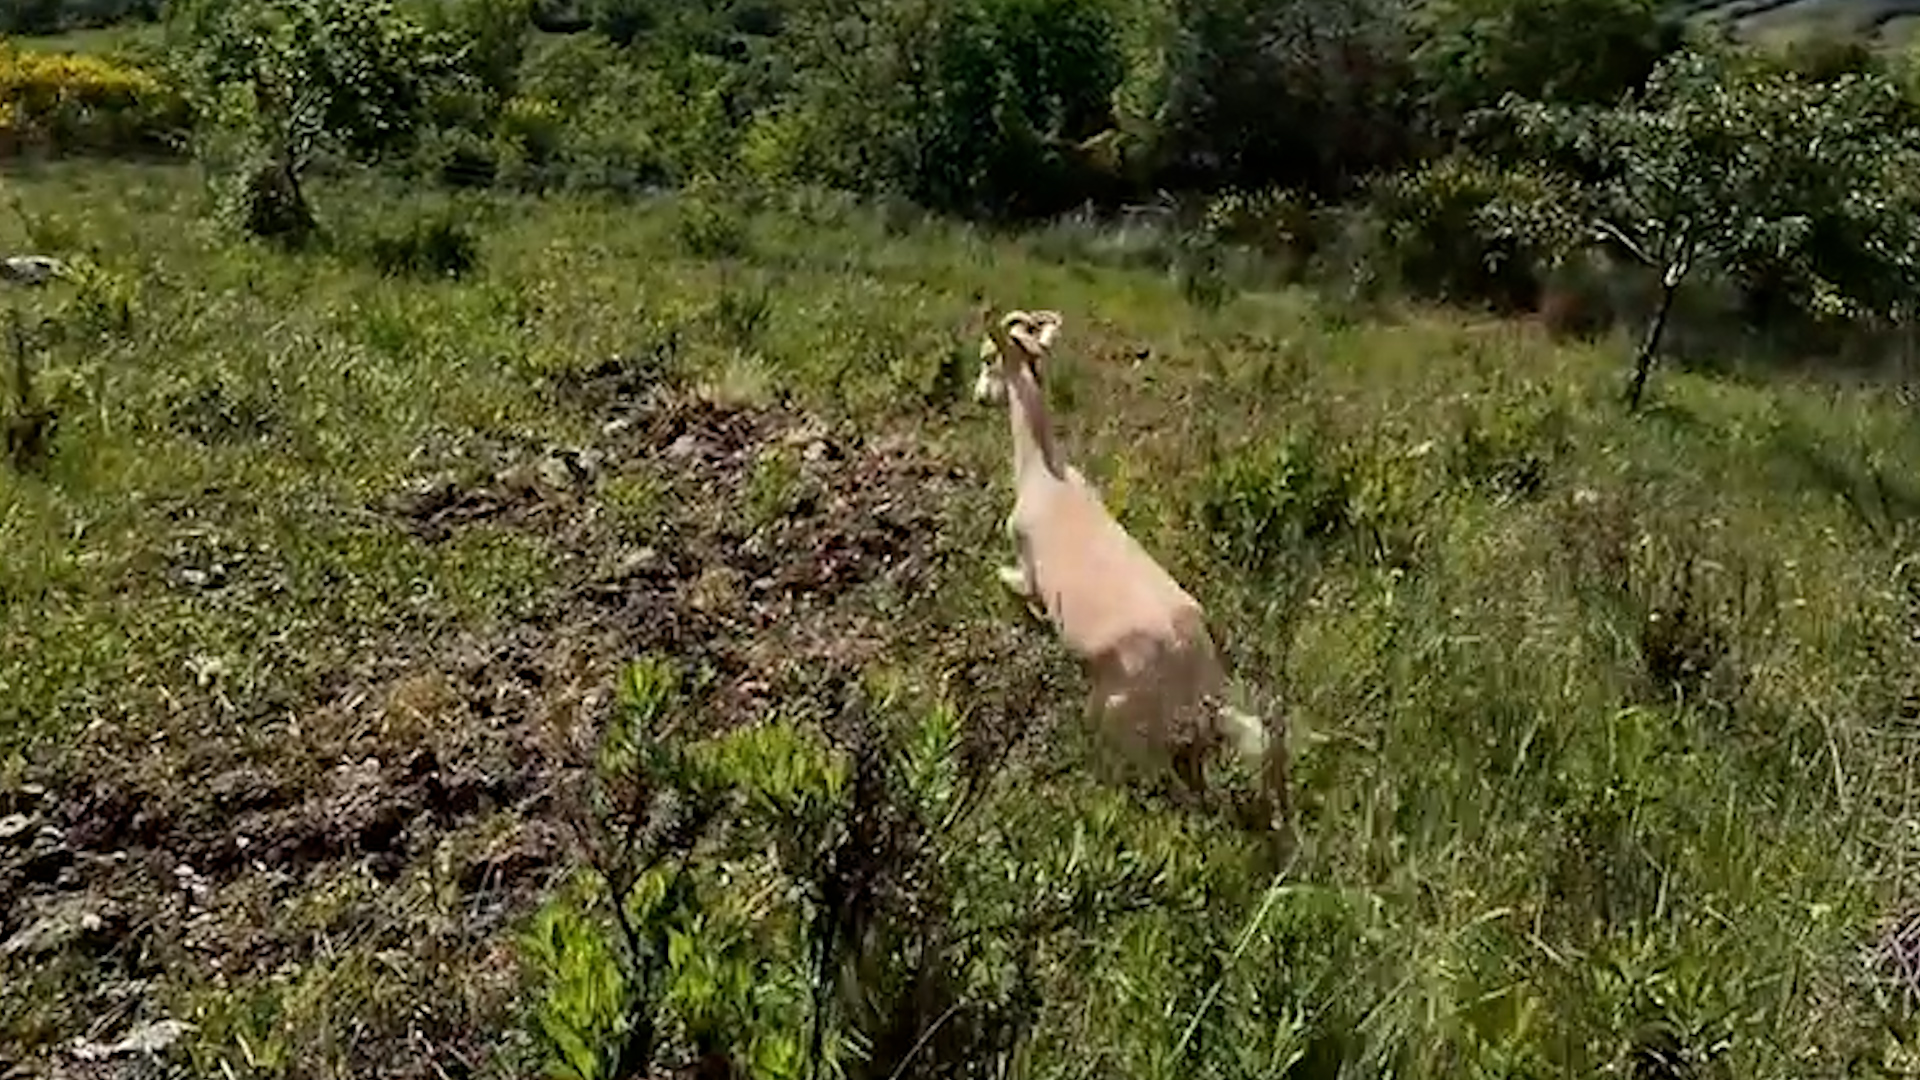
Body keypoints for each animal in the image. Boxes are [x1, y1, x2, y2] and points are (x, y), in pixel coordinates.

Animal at [982, 306, 1291, 844]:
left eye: (987, 358)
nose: (979, 394)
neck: (1042, 471)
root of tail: (1189, 662)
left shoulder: (1024, 565)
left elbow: (1011, 585)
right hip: (1201, 713)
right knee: (1249, 741)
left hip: (1119, 712)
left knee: (1154, 773)